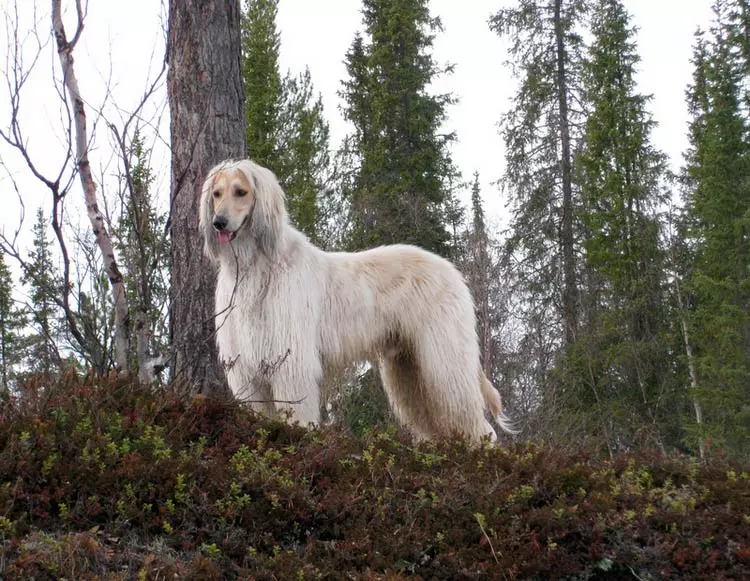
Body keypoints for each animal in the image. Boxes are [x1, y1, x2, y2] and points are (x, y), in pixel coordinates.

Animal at [200, 159, 516, 440]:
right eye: (216, 193)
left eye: (241, 191)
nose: (219, 223)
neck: (255, 266)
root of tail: (454, 272)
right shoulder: (247, 368)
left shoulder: (291, 362)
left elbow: (297, 414)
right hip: (408, 367)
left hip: (444, 357)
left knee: (477, 425)